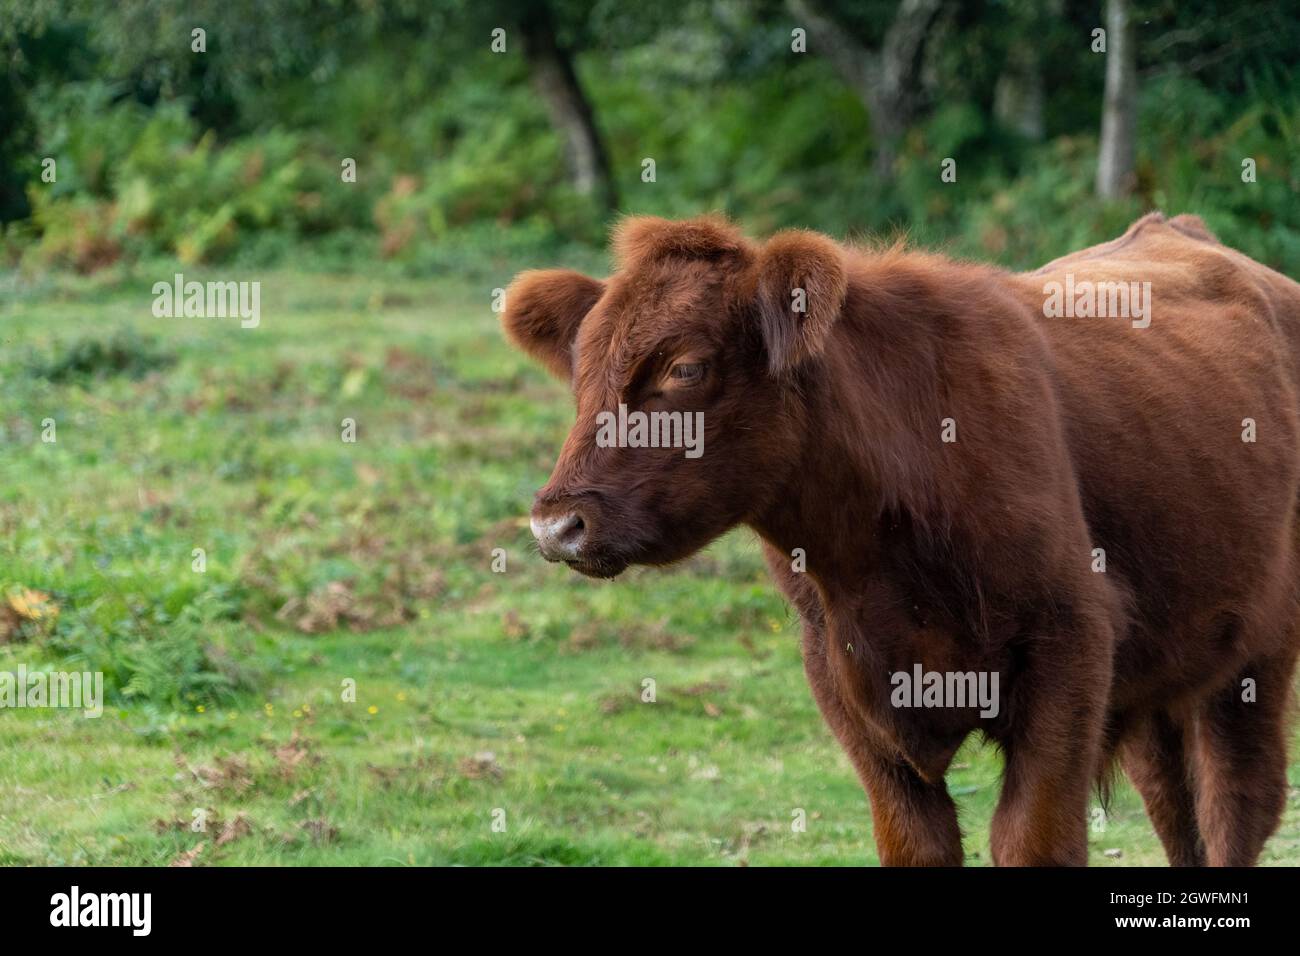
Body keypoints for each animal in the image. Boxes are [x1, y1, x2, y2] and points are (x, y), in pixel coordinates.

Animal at [502, 212, 1300, 866]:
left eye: (685, 367)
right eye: (579, 370)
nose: (556, 523)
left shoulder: (1069, 648)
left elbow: (1031, 839)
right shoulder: (840, 678)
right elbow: (916, 843)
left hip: (1254, 658)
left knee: (1235, 808)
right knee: (1175, 808)